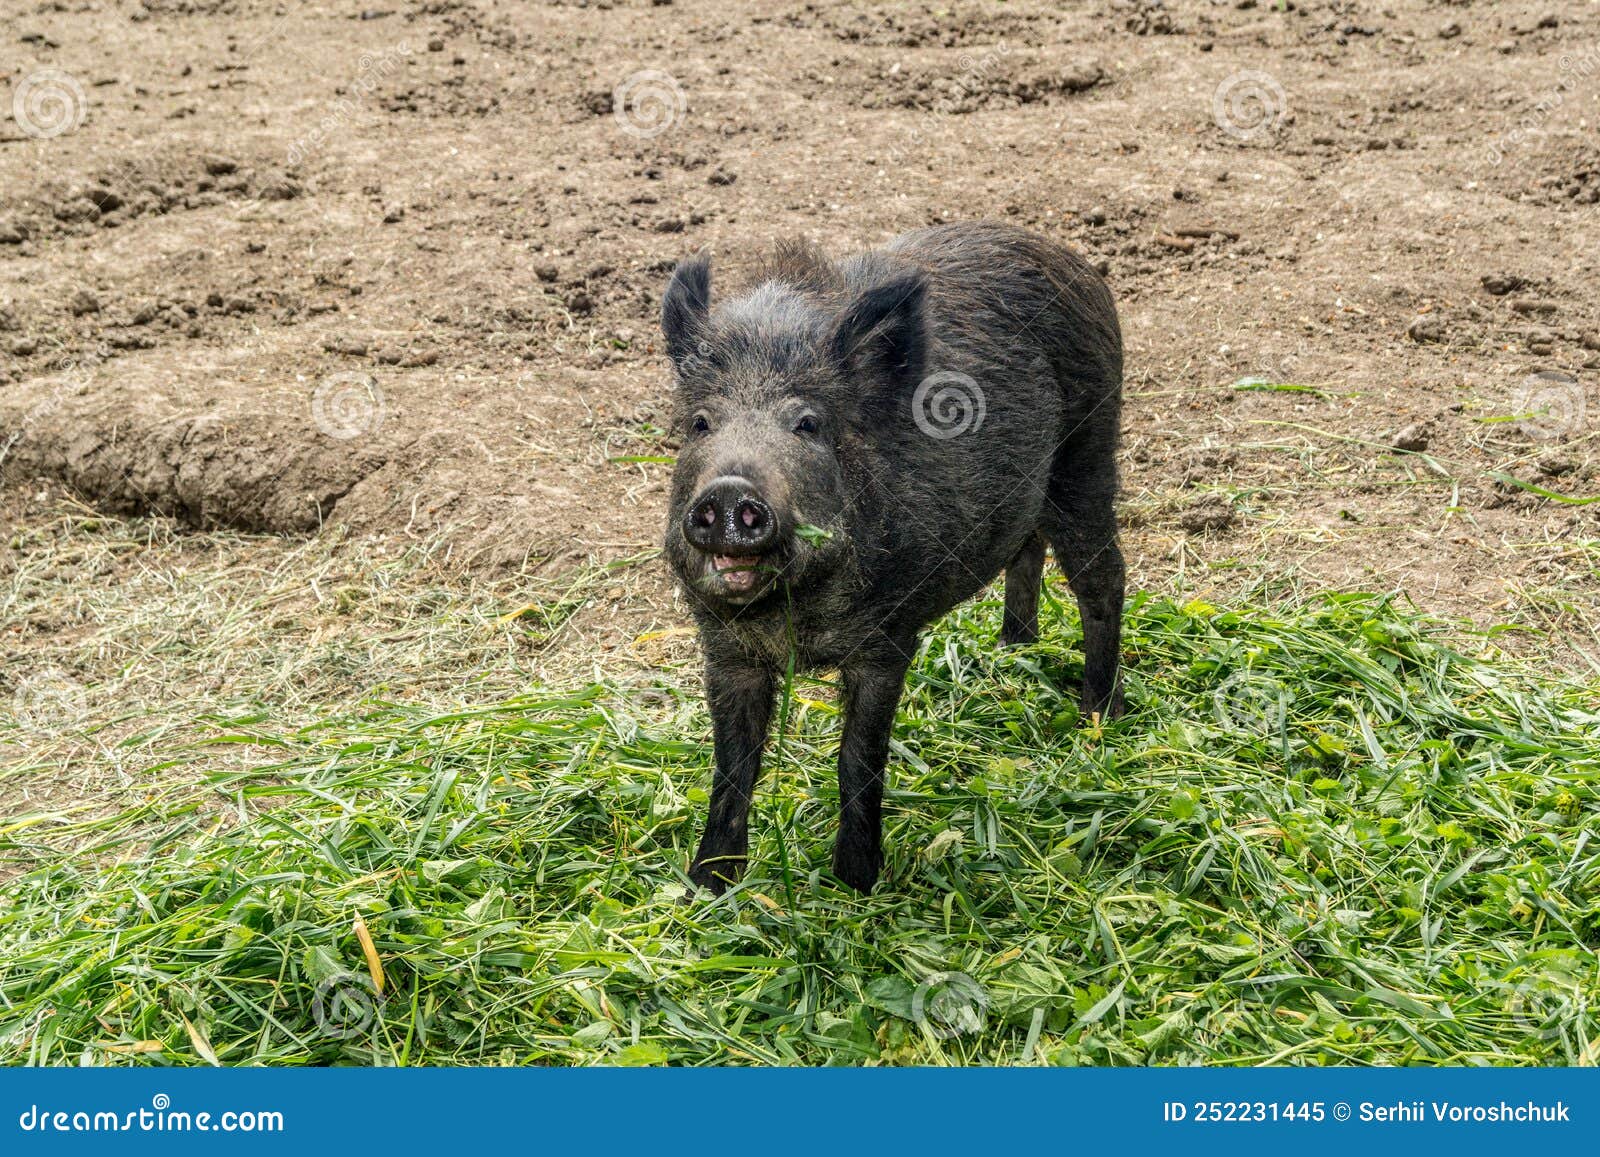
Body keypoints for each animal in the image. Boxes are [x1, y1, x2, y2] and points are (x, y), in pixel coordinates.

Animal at [660, 221, 1124, 895]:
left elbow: (858, 758)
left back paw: (1099, 718)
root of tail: (1074, 263)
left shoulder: (886, 640)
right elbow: (731, 764)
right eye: (701, 422)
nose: (727, 491)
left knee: (1103, 579)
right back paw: (1012, 649)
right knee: (1027, 545)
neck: (793, 617)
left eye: (808, 423)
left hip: (1089, 451)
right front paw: (708, 886)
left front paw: (856, 883)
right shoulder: (725, 649)